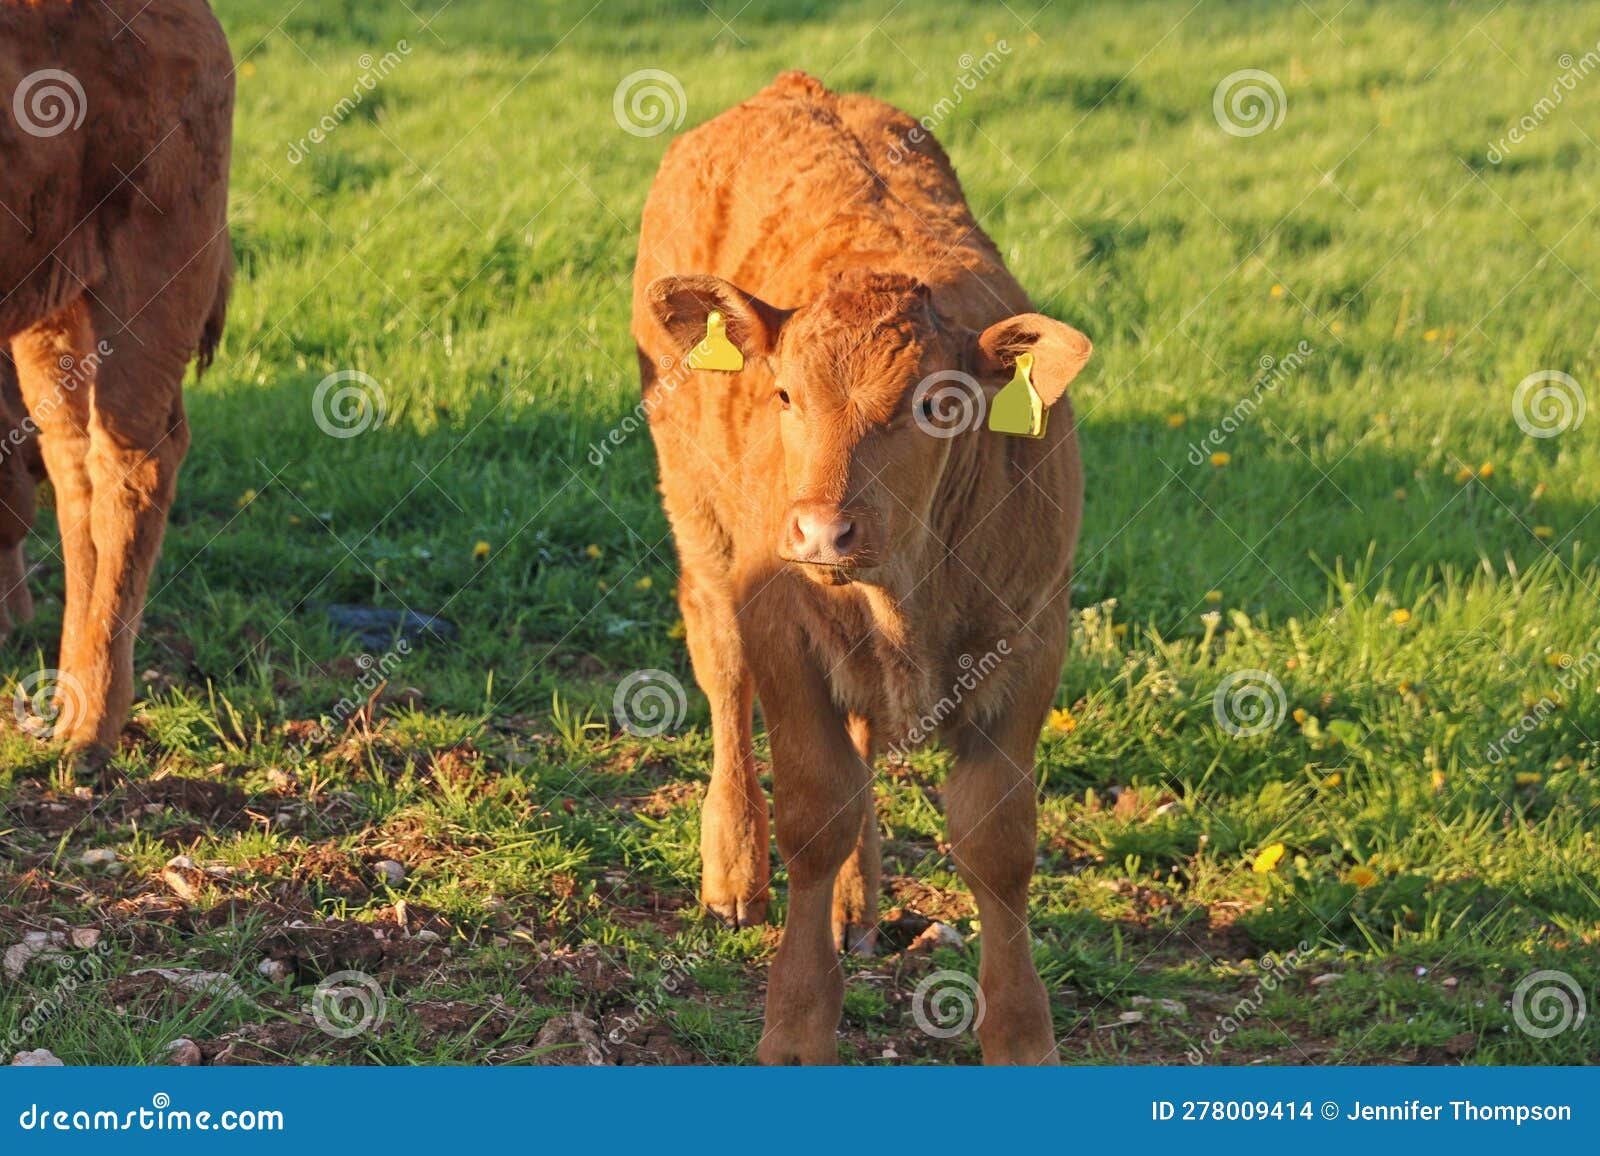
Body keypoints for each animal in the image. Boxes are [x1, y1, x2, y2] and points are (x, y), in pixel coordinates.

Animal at [0, 0, 233, 754]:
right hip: (53, 305)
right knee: (75, 468)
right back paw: (69, 704)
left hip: (152, 270)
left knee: (135, 461)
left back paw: (92, 727)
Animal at [631, 71, 1091, 1064]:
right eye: (783, 394)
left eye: (937, 405)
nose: (819, 533)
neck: (904, 595)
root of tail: (794, 88)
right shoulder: (782, 624)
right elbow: (815, 809)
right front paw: (797, 1020)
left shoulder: (1034, 638)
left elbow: (997, 841)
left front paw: (1021, 1032)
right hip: (696, 513)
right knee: (722, 676)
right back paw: (733, 868)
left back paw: (857, 902)